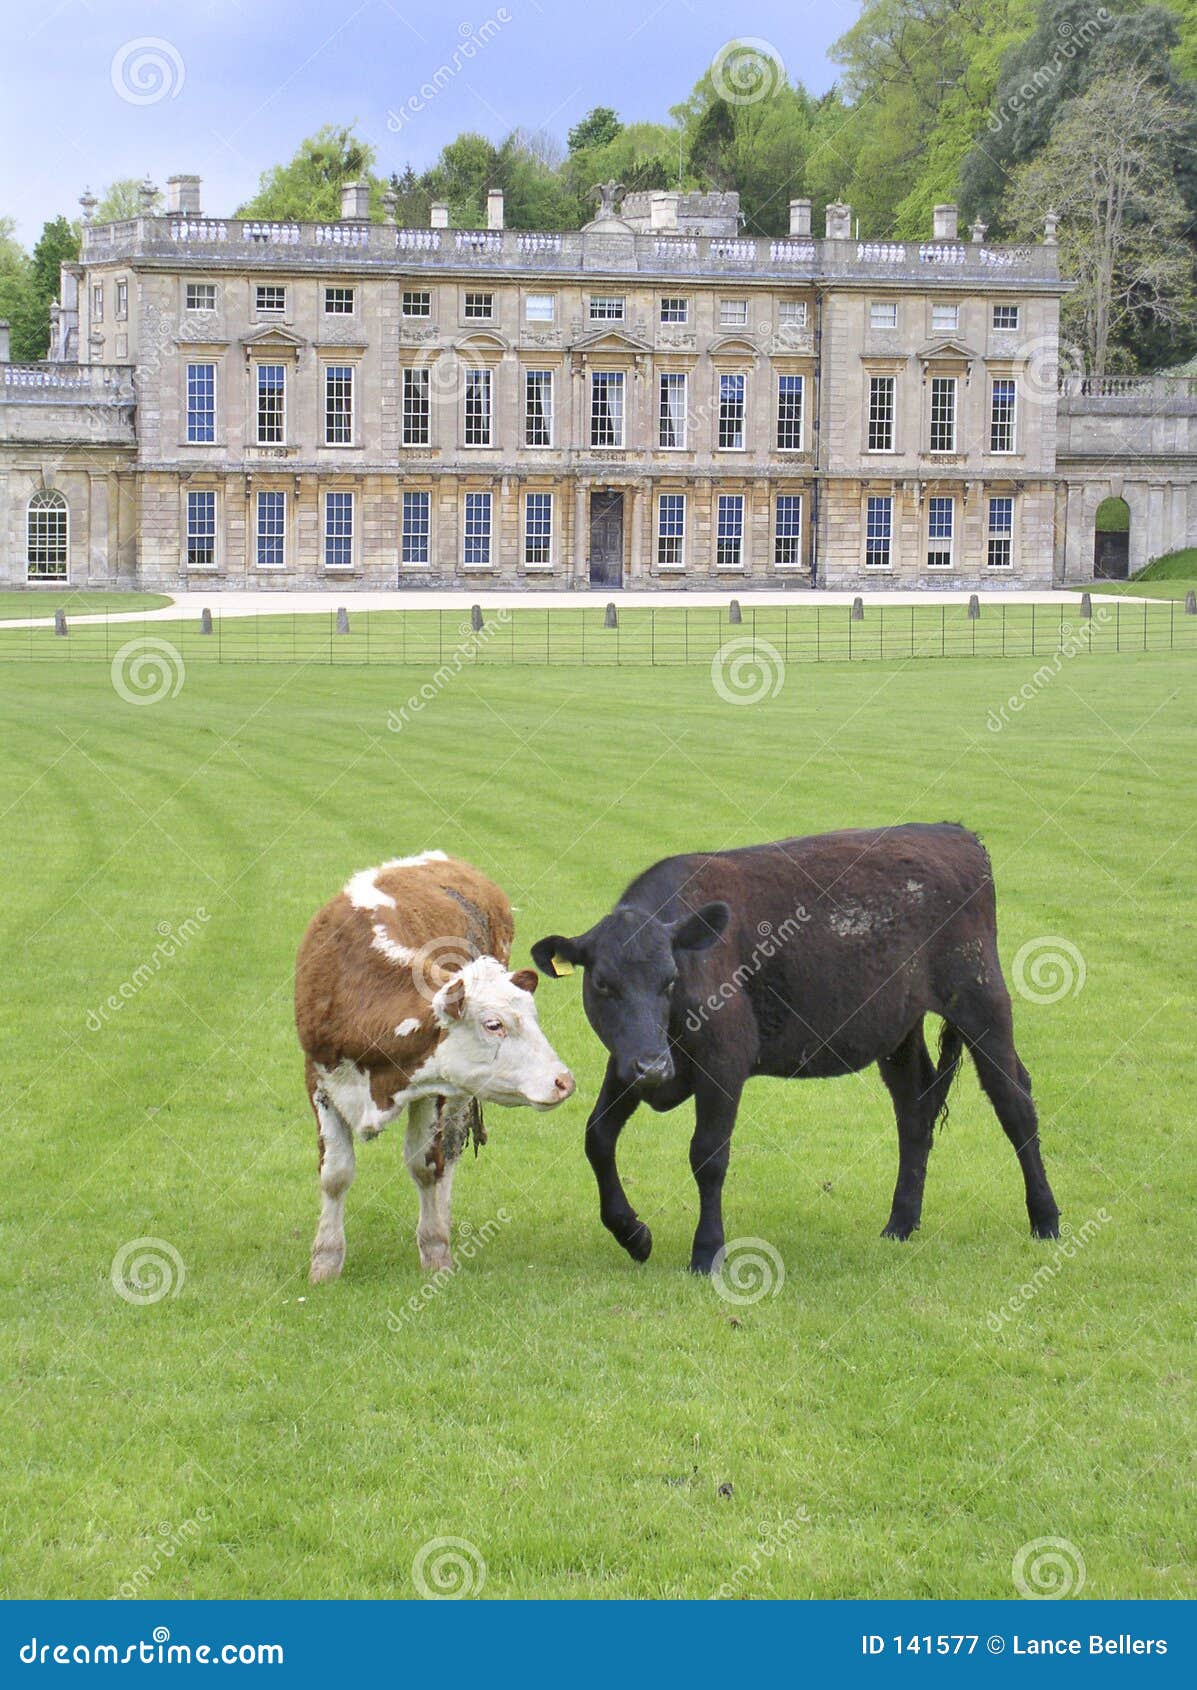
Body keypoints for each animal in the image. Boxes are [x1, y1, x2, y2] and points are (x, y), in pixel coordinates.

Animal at [296, 851, 574, 1282]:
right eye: (493, 1024)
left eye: (533, 1017)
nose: (563, 1081)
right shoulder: (318, 1081)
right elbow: (335, 1173)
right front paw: (325, 1261)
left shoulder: (434, 1086)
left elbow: (427, 1165)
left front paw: (435, 1250)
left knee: (450, 1149)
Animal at [532, 824, 1060, 1275]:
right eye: (603, 984)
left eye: (670, 980)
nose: (653, 1067)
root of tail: (955, 833)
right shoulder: (627, 1061)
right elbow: (598, 1136)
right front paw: (632, 1233)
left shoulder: (724, 1060)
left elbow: (708, 1155)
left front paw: (707, 1252)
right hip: (899, 1028)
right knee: (914, 1110)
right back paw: (900, 1223)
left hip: (979, 997)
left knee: (1014, 1102)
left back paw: (1046, 1219)